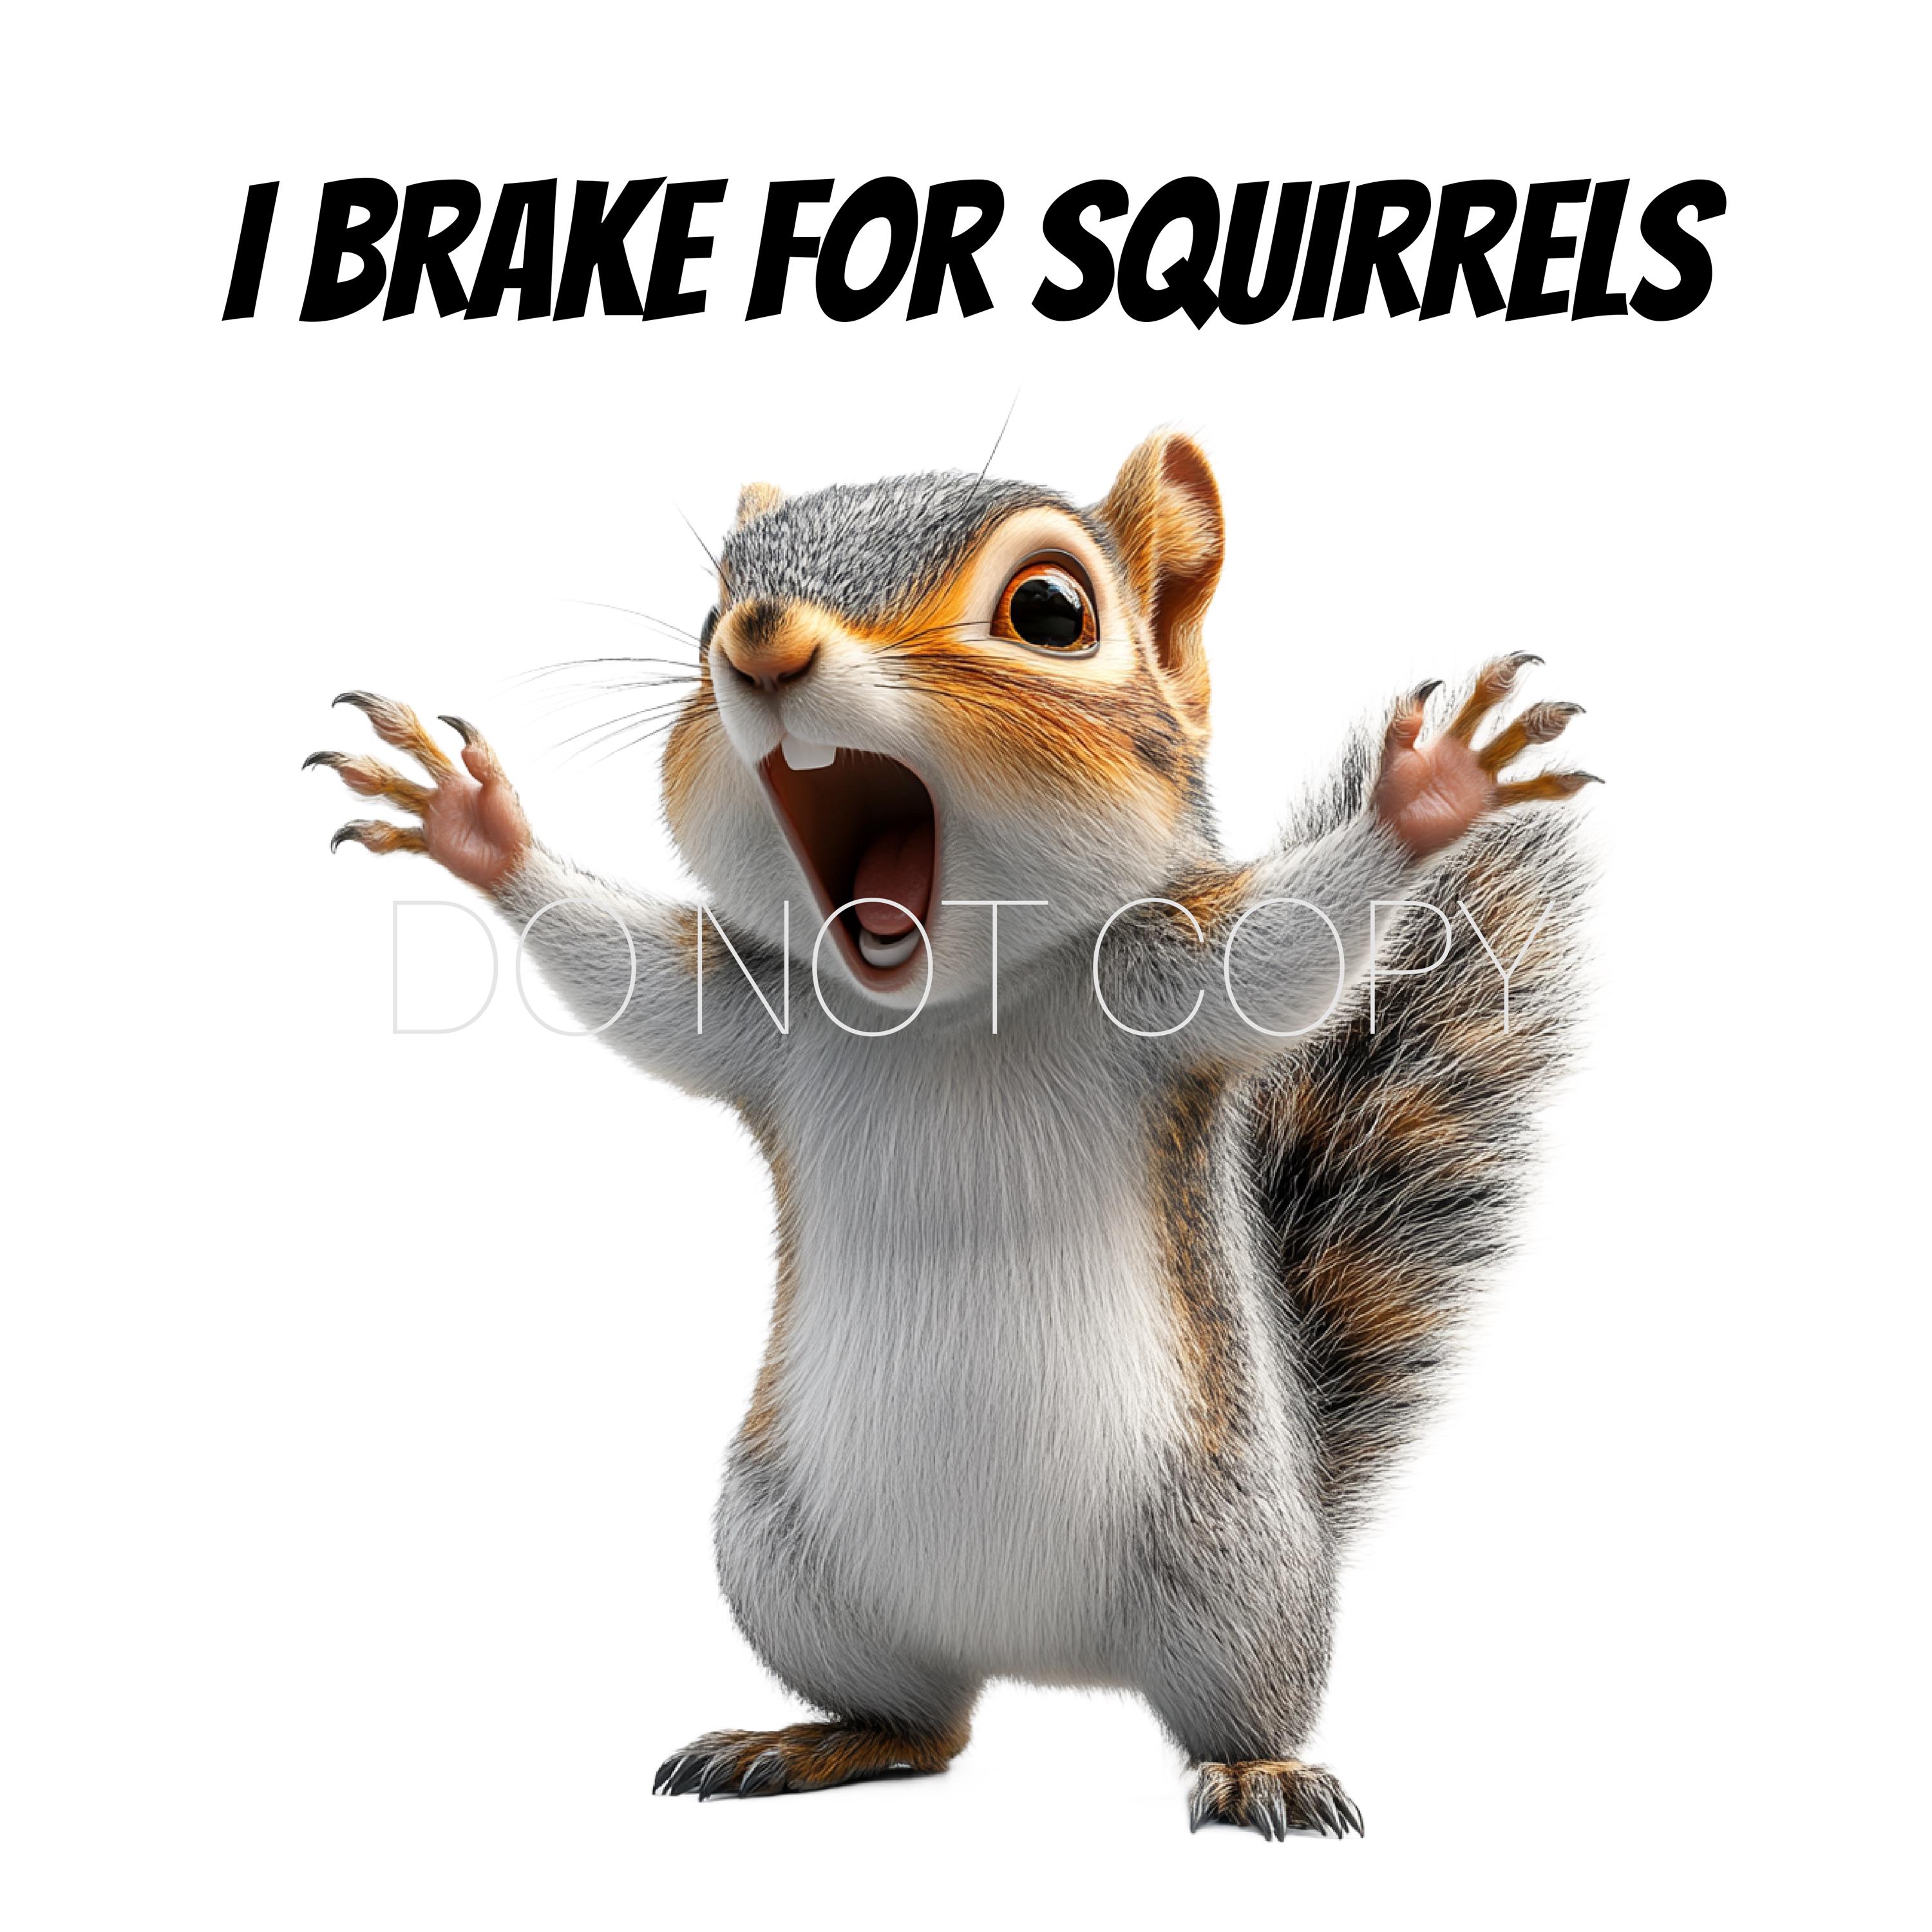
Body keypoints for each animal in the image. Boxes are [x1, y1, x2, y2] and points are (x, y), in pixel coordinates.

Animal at [309, 431, 1594, 1840]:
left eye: (1053, 613)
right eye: (710, 612)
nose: (757, 644)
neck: (951, 996)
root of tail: (1035, 1656)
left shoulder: (1172, 985)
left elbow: (1285, 957)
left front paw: (1435, 793)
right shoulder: (760, 1020)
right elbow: (636, 989)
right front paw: (475, 826)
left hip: (1229, 1574)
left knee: (1218, 1705)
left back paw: (1260, 1770)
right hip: (791, 1570)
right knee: (929, 1727)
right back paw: (813, 1742)